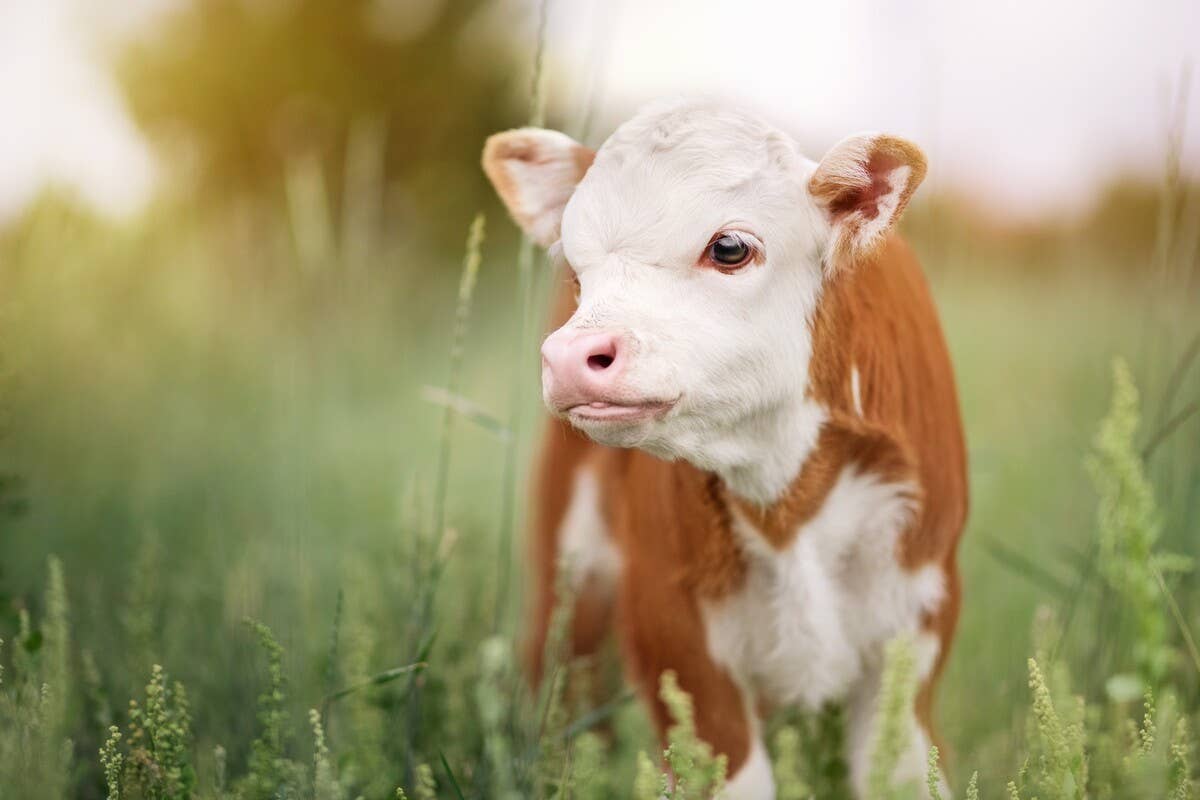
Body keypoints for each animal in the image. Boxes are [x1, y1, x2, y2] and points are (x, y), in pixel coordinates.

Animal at [481, 98, 968, 798]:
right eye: (576, 269)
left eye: (730, 247)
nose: (571, 356)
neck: (787, 499)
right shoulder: (669, 623)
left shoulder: (919, 612)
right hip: (566, 561)